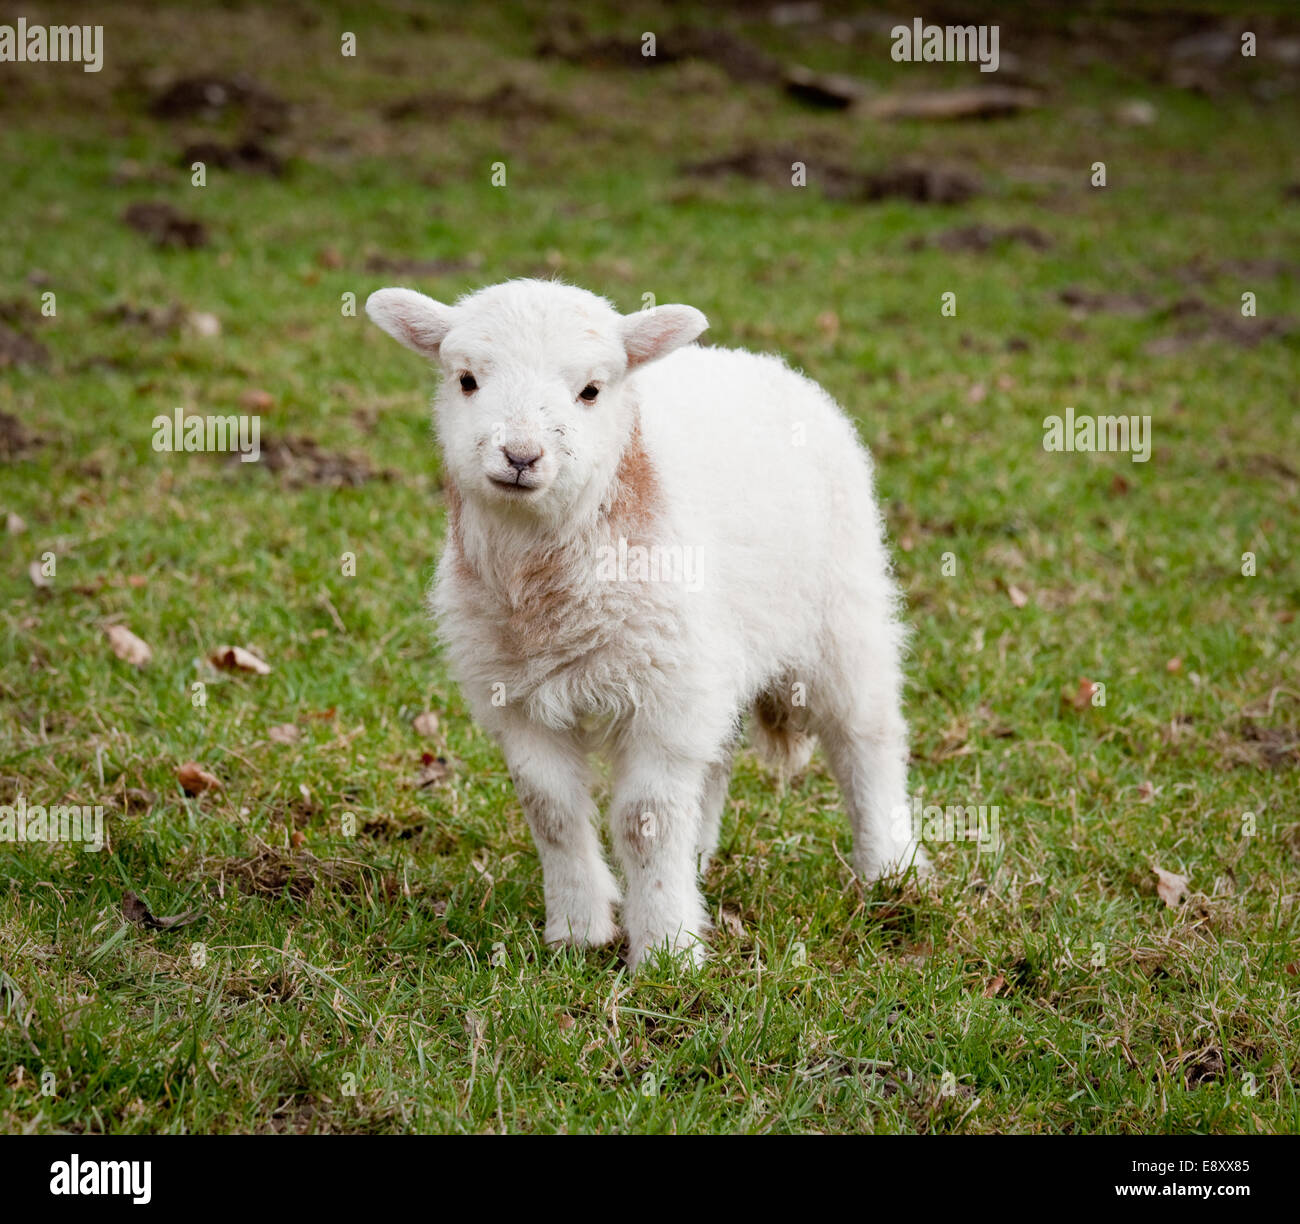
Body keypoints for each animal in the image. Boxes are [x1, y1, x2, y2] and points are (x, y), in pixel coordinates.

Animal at [366, 278, 926, 968]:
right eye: (466, 379)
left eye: (591, 391)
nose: (521, 456)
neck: (547, 594)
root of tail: (755, 360)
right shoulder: (518, 696)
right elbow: (551, 810)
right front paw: (578, 931)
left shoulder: (665, 697)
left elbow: (644, 822)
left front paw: (666, 953)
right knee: (715, 762)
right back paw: (700, 863)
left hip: (841, 613)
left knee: (865, 737)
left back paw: (890, 870)